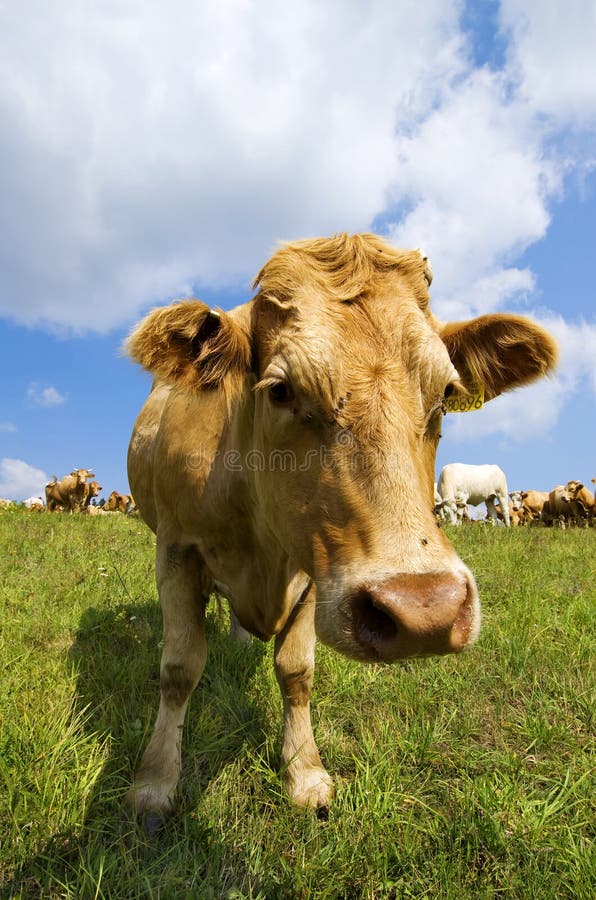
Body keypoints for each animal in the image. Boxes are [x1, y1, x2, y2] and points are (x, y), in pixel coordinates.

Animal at [125, 232, 557, 825]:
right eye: (280, 390)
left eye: (446, 393)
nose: (426, 611)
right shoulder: (176, 550)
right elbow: (179, 667)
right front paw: (155, 780)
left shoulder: (319, 568)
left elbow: (296, 671)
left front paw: (305, 772)